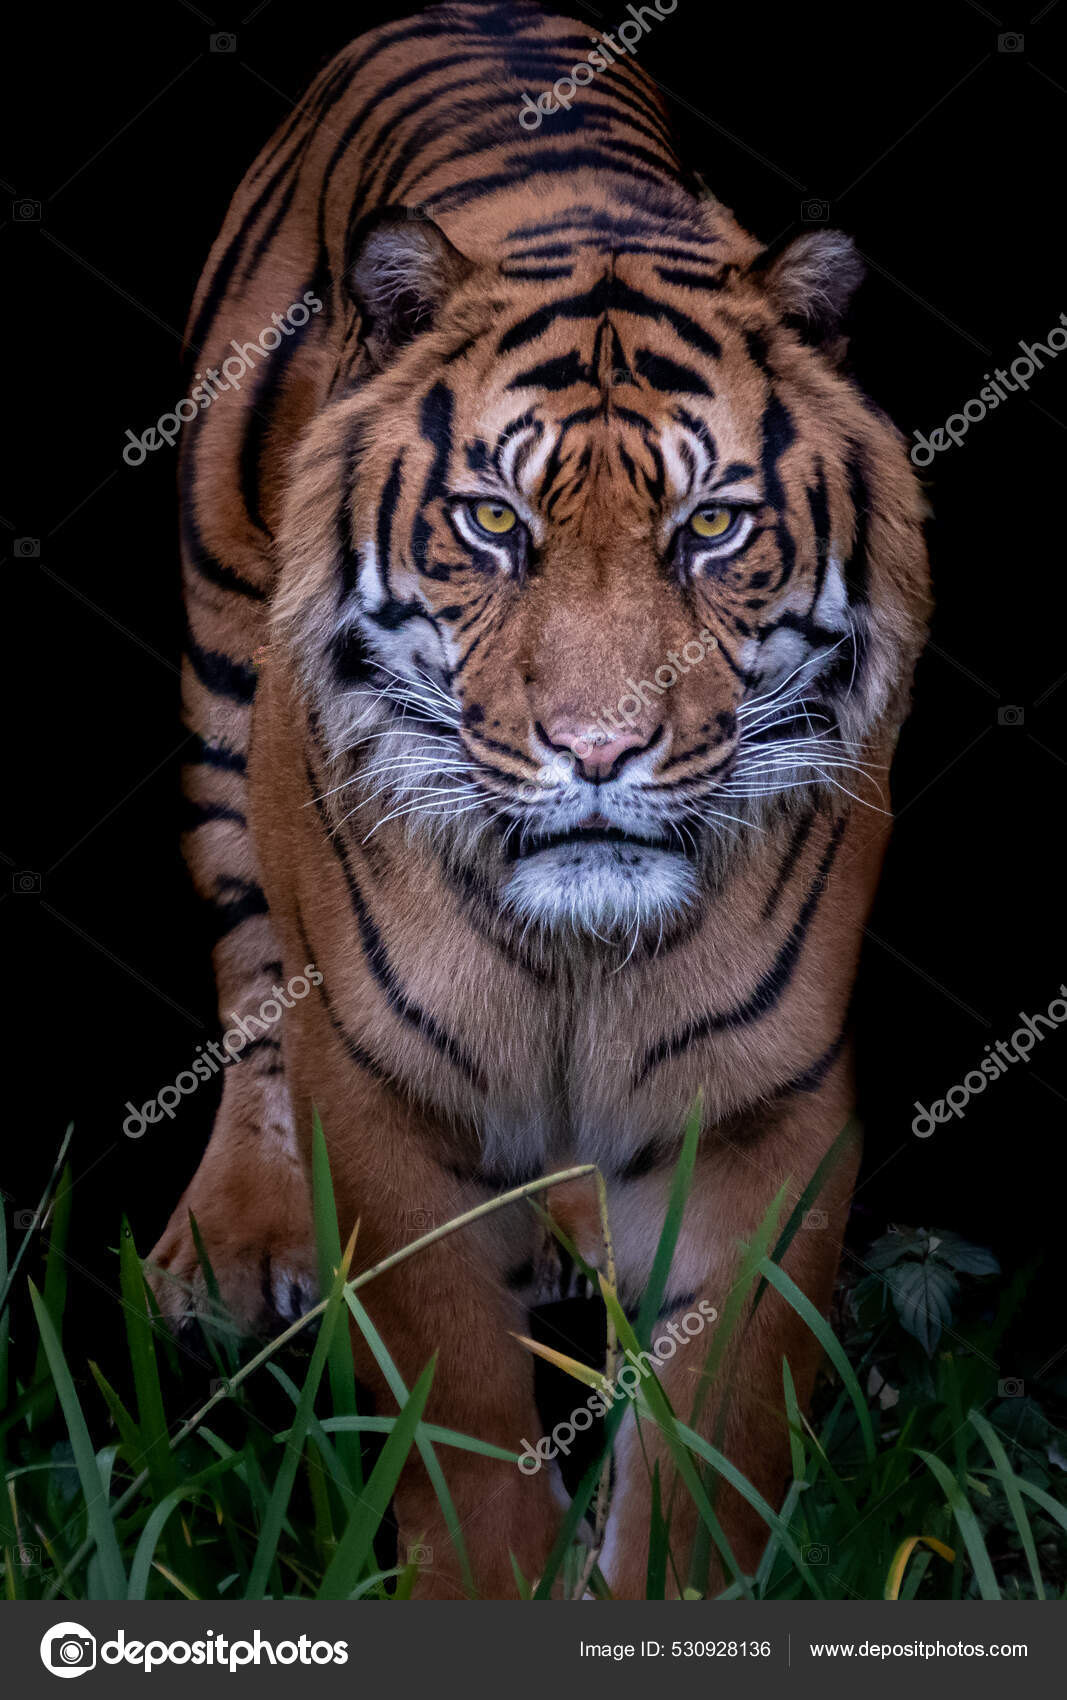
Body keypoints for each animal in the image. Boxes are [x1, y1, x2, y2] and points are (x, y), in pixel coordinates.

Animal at [149, 0, 931, 1598]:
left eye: (712, 528)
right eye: (491, 522)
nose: (596, 744)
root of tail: (469, 5)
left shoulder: (765, 1108)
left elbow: (712, 1439)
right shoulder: (375, 1080)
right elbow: (454, 1406)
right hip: (216, 639)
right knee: (245, 953)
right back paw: (229, 1245)